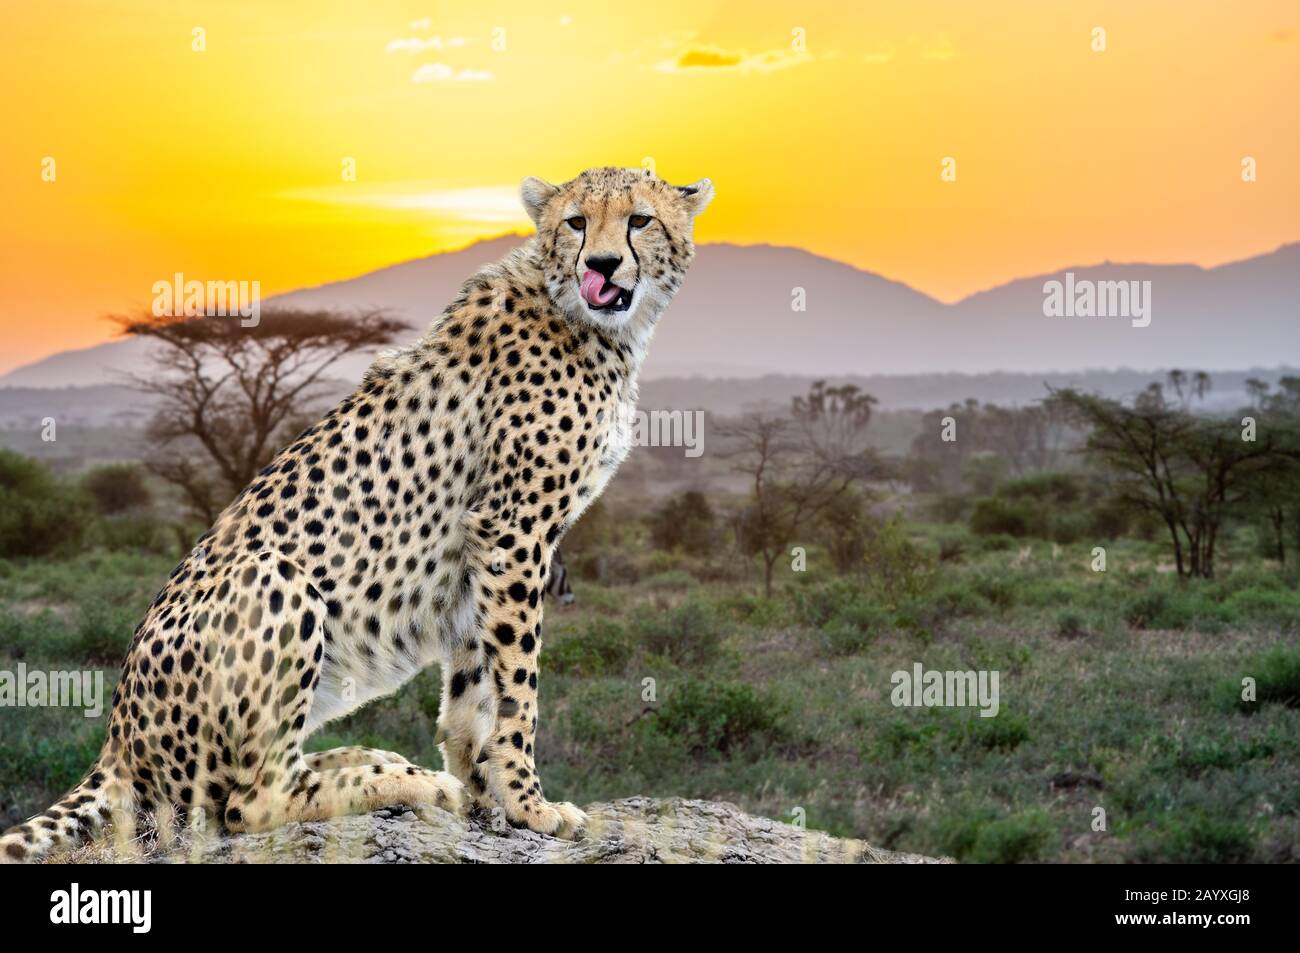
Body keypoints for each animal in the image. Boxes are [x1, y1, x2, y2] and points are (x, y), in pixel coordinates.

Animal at [0, 165, 713, 862]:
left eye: (639, 220)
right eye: (575, 222)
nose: (602, 264)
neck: (591, 321)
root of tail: (116, 740)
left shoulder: (485, 549)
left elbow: (472, 686)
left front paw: (483, 796)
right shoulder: (514, 530)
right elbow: (517, 685)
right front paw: (528, 804)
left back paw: (379, 762)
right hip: (277, 579)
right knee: (245, 803)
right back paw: (398, 781)